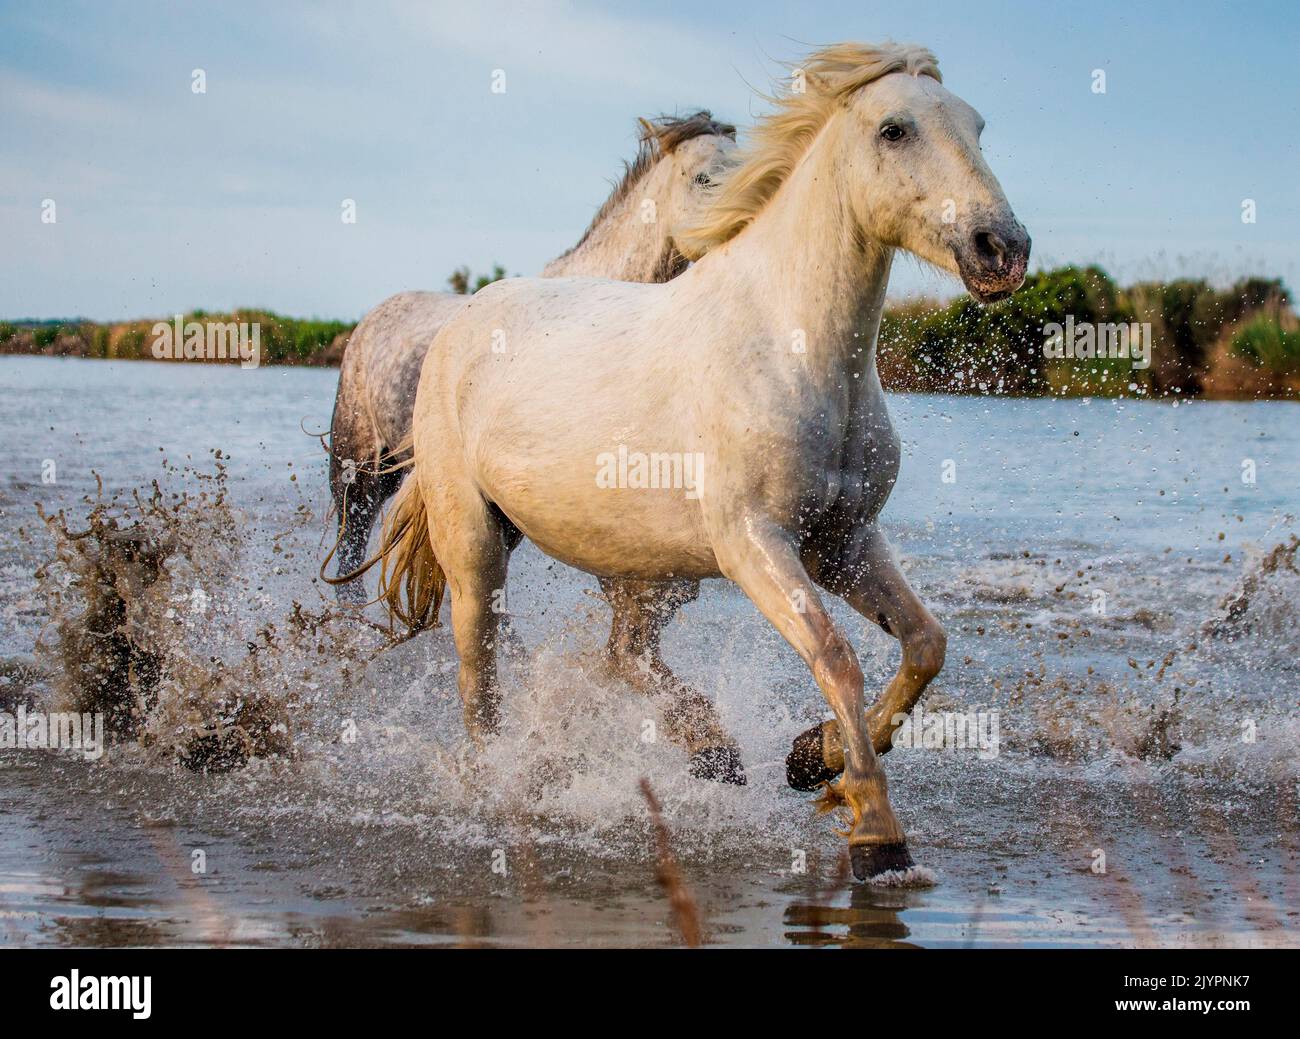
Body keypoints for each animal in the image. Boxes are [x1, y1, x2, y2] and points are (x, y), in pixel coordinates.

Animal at [373, 42, 1029, 879]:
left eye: (977, 127)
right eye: (894, 129)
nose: (1002, 249)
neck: (792, 343)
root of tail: (462, 317)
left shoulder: (844, 541)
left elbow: (925, 644)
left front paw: (812, 758)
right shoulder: (754, 543)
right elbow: (836, 657)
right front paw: (876, 831)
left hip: (637, 562)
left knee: (623, 658)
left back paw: (711, 752)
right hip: (474, 544)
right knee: (479, 676)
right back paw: (505, 786)